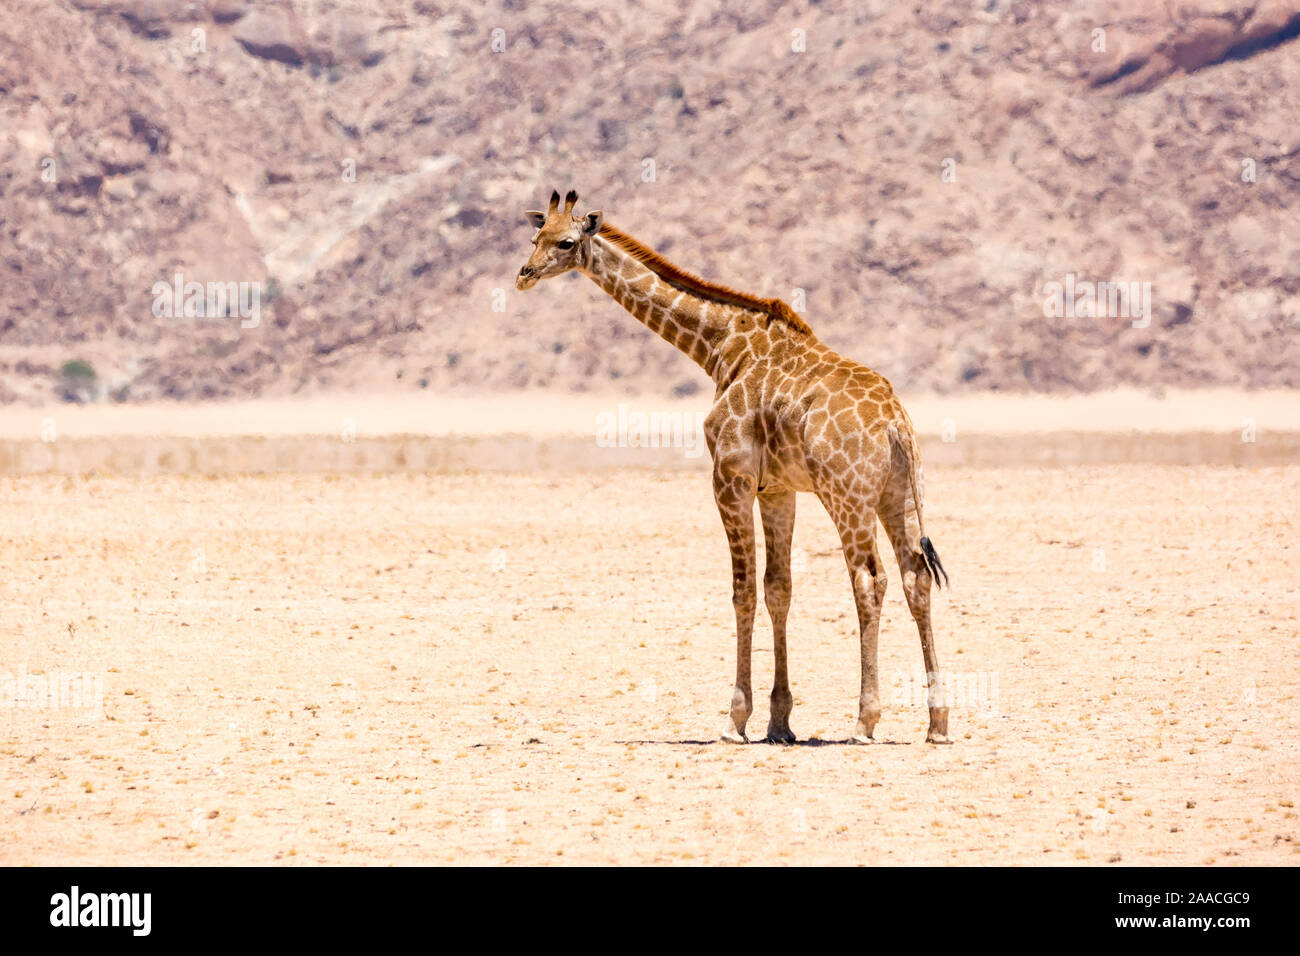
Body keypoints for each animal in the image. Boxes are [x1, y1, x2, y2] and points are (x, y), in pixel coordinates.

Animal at [516, 190, 951, 744]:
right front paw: (779, 721)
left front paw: (735, 721)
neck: (718, 346)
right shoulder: (778, 489)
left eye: (566, 242)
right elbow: (778, 589)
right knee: (916, 577)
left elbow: (742, 591)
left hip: (847, 495)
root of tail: (897, 423)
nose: (524, 274)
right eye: (535, 236)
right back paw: (938, 723)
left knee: (869, 581)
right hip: (897, 494)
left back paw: (864, 720)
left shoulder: (730, 478)